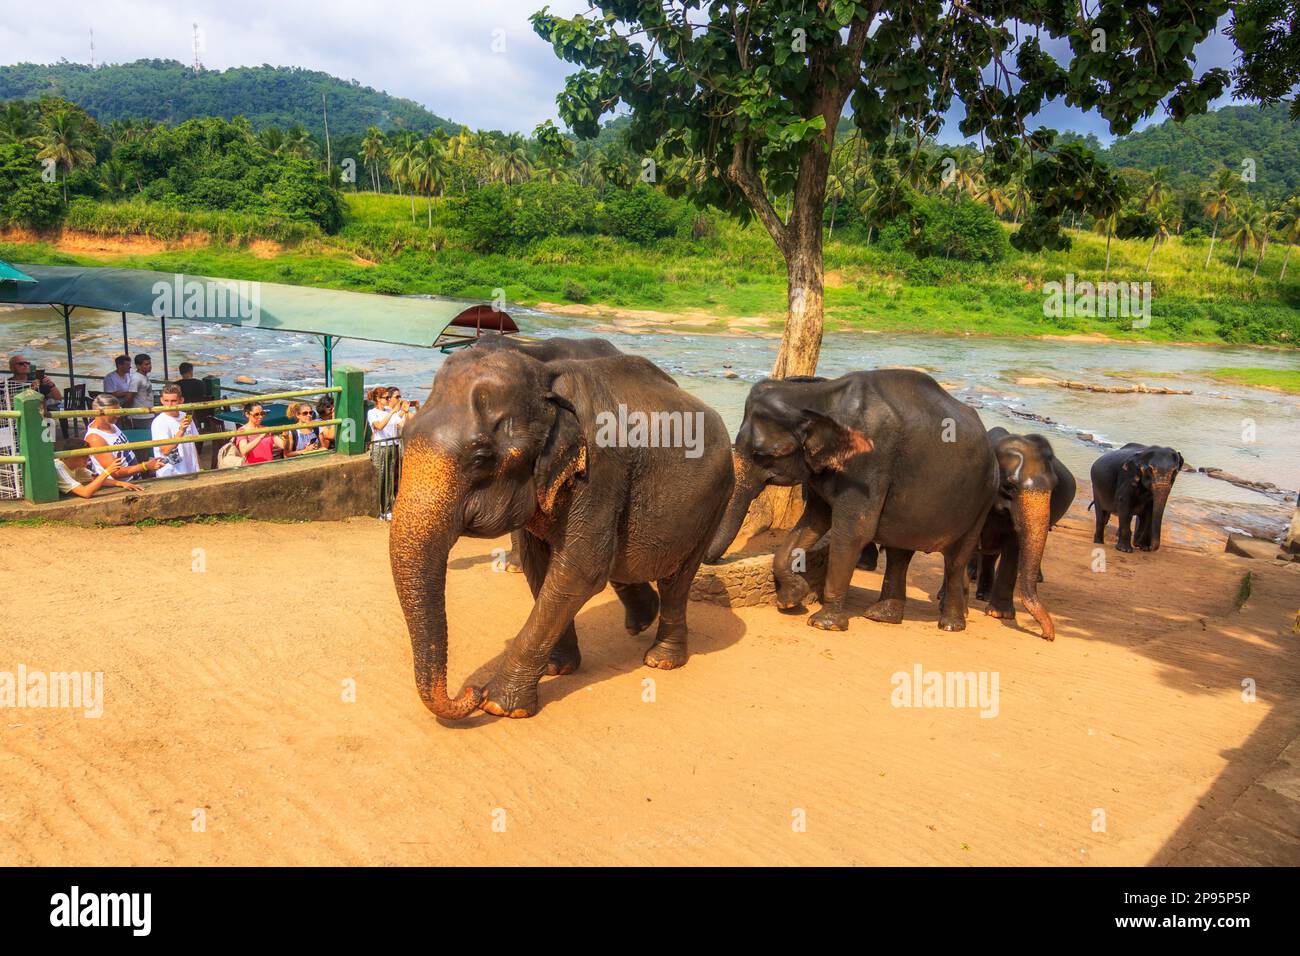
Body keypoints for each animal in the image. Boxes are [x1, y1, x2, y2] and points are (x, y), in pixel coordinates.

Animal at [390, 338, 734, 720]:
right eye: (404, 437)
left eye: (480, 458)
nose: (470, 692)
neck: (543, 370)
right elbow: (540, 566)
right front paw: (558, 668)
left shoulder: (601, 470)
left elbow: (580, 570)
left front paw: (500, 706)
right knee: (624, 563)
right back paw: (641, 620)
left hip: (715, 499)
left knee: (677, 578)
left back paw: (661, 660)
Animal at [705, 370, 999, 632]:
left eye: (763, 454)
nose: (715, 561)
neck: (822, 396)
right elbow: (813, 522)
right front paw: (791, 599)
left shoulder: (868, 464)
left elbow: (853, 531)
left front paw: (823, 624)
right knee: (899, 552)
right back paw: (882, 616)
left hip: (982, 501)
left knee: (956, 559)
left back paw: (950, 625)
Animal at [969, 427, 1077, 641]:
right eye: (1009, 486)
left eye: (1054, 487)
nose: (1047, 636)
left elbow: (1014, 548)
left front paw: (1000, 614)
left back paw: (984, 595)